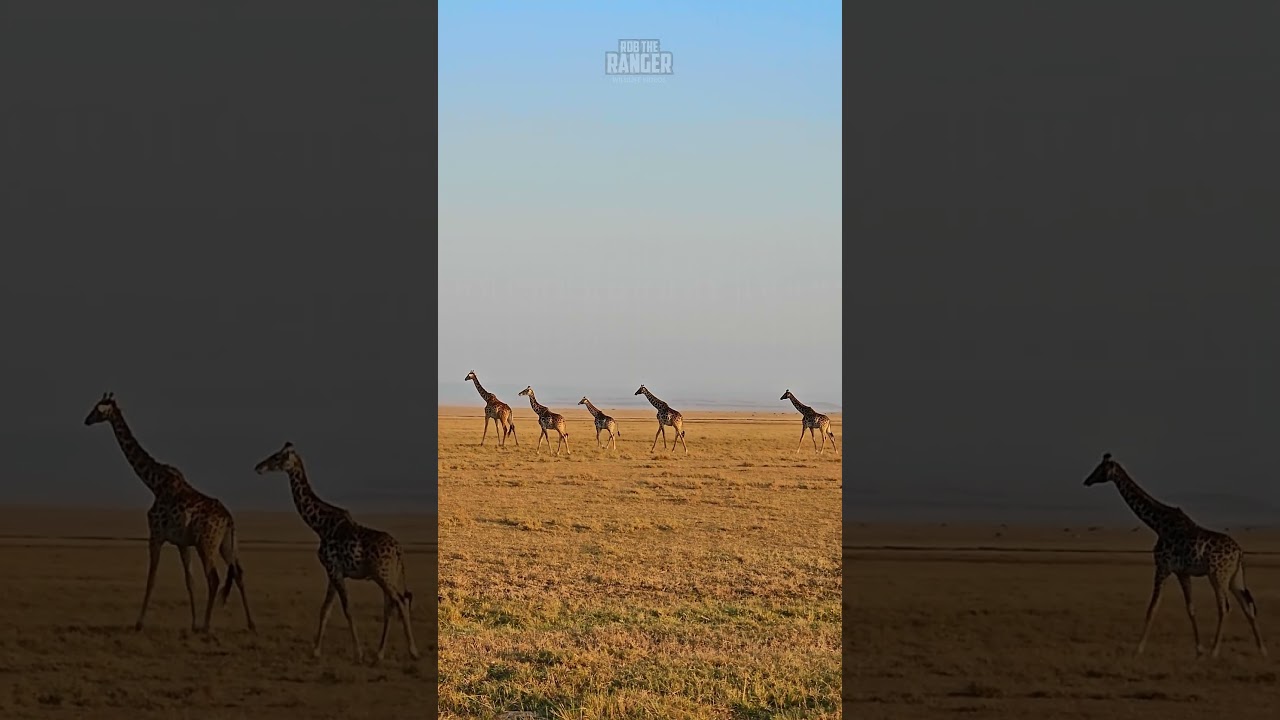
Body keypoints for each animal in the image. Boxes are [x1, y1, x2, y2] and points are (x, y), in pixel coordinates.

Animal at [83, 392, 255, 634]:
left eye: (98, 409)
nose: (86, 420)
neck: (153, 482)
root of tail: (229, 519)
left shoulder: (155, 536)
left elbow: (151, 579)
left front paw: (139, 623)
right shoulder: (182, 543)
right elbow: (189, 581)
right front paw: (192, 623)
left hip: (206, 544)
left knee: (214, 578)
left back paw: (207, 625)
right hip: (226, 544)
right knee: (238, 573)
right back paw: (250, 623)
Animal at [255, 442, 420, 664]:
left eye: (277, 457)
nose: (259, 467)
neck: (320, 525)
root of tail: (399, 551)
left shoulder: (334, 569)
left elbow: (347, 609)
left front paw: (358, 653)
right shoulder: (333, 572)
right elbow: (325, 609)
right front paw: (315, 651)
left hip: (383, 575)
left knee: (400, 602)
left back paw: (413, 651)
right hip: (390, 576)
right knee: (390, 606)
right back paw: (379, 654)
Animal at [1084, 453, 1266, 658]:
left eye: (1099, 469)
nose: (1086, 481)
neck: (1158, 524)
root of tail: (1239, 552)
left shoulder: (1162, 567)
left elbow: (1152, 607)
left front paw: (1138, 649)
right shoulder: (1182, 572)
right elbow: (1190, 608)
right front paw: (1198, 649)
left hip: (1218, 575)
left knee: (1225, 607)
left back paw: (1215, 651)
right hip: (1235, 577)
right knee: (1248, 606)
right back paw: (1262, 650)